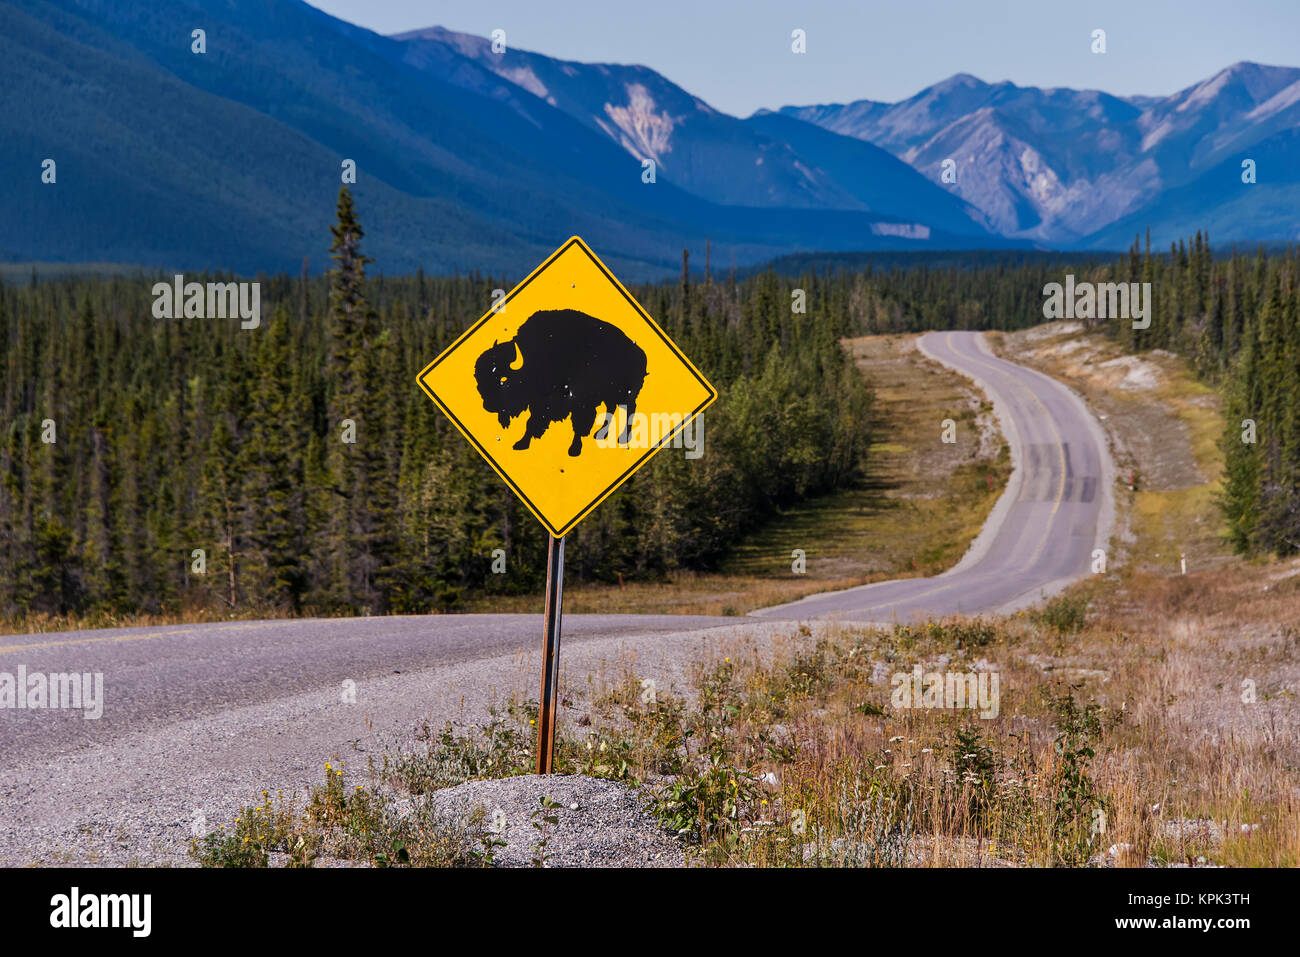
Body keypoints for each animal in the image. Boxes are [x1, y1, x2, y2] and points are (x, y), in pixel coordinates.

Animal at [474, 308, 648, 457]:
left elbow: (578, 424)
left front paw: (574, 449)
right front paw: (521, 444)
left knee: (629, 410)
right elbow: (532, 422)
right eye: (479, 379)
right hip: (609, 395)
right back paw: (600, 434)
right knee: (611, 409)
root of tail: (640, 353)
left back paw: (623, 438)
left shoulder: (580, 401)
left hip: (626, 394)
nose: (488, 406)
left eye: (503, 380)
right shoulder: (539, 402)